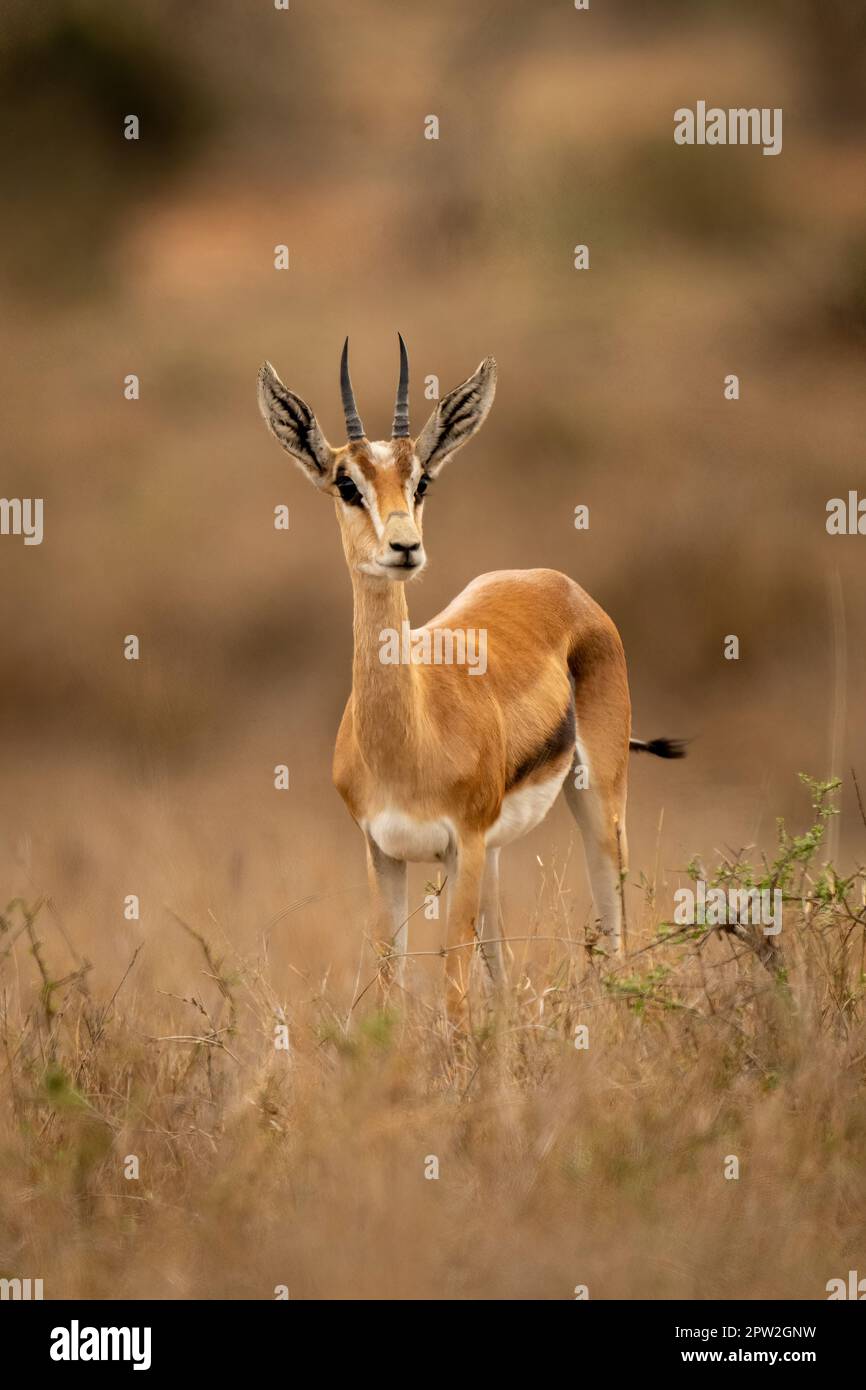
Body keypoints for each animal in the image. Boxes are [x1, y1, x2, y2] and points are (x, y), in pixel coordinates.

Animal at [257, 338, 684, 1001]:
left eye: (422, 480)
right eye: (346, 483)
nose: (404, 547)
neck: (409, 741)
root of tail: (557, 583)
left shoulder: (464, 844)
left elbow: (454, 986)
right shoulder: (382, 852)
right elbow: (390, 977)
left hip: (596, 803)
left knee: (615, 940)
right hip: (499, 852)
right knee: (502, 971)